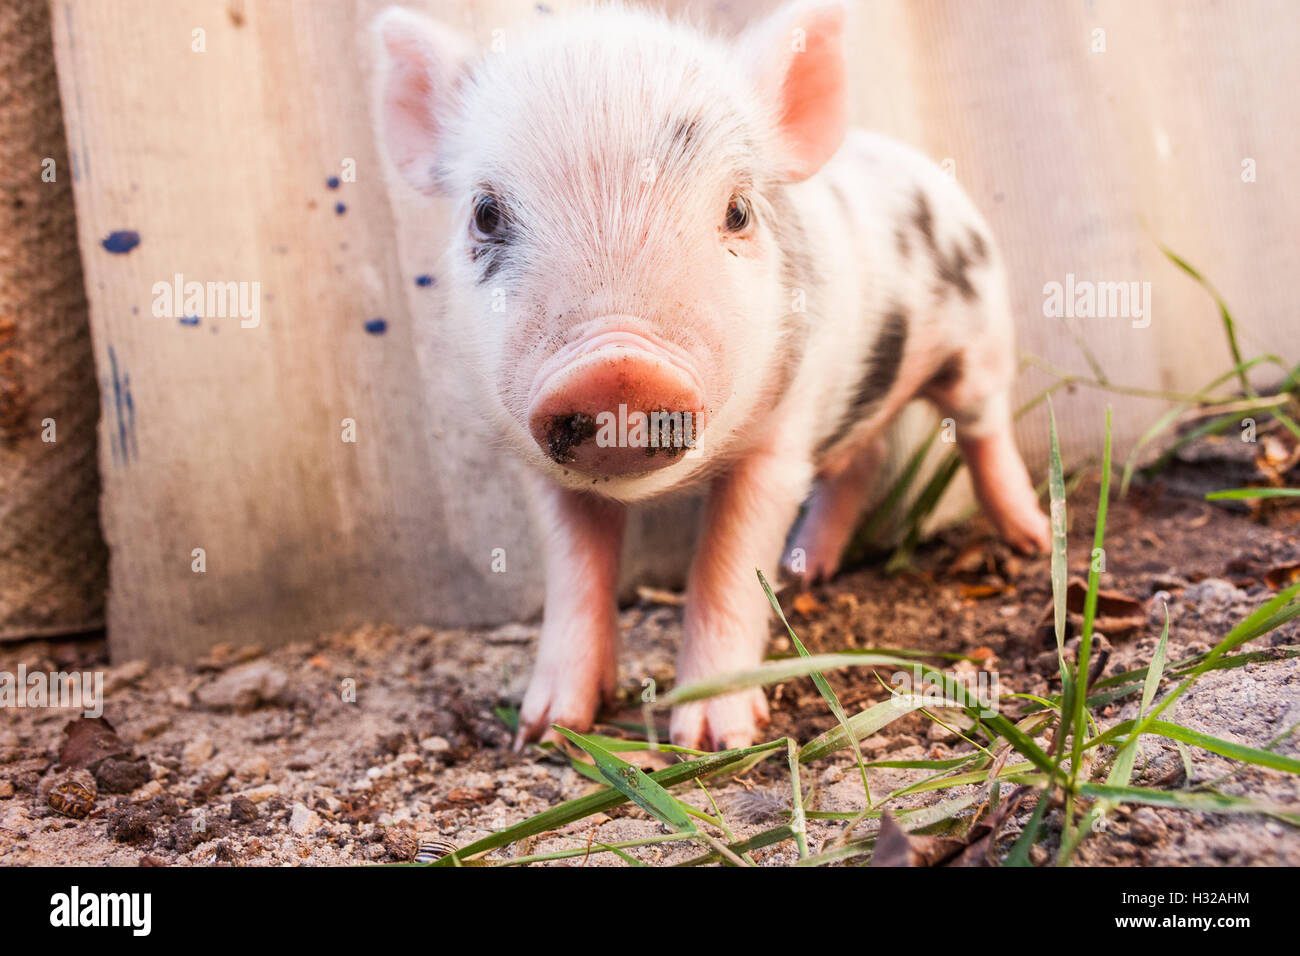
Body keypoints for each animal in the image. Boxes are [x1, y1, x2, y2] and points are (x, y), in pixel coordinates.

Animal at [373, 0, 1050, 752]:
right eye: (485, 214)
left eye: (738, 211)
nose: (619, 369)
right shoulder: (544, 476)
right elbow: (575, 573)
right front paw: (547, 732)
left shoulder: (780, 440)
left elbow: (726, 562)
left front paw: (714, 741)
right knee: (863, 459)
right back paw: (806, 571)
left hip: (981, 333)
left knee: (983, 428)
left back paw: (1034, 541)